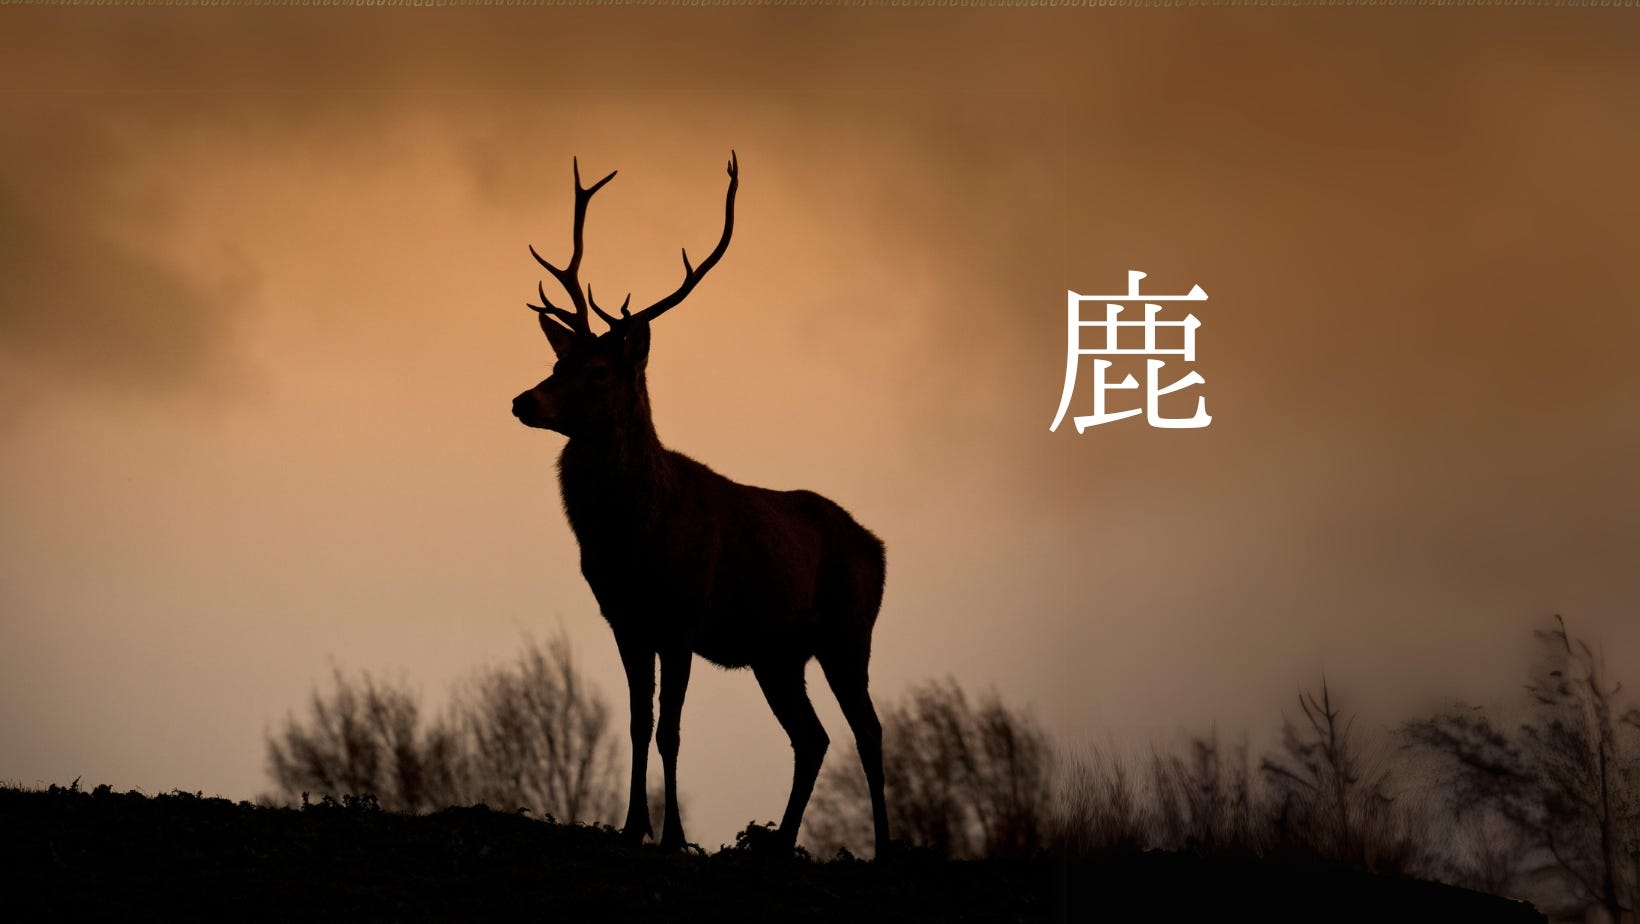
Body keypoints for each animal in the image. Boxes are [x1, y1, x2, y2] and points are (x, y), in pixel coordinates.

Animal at [510, 153, 891, 856]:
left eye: (599, 370)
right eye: (557, 360)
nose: (524, 400)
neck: (633, 538)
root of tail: (877, 547)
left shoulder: (683, 614)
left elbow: (671, 730)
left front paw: (672, 838)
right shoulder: (625, 619)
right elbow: (638, 723)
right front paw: (633, 828)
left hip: (849, 630)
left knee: (868, 731)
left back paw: (882, 848)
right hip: (777, 653)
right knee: (813, 737)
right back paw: (777, 843)